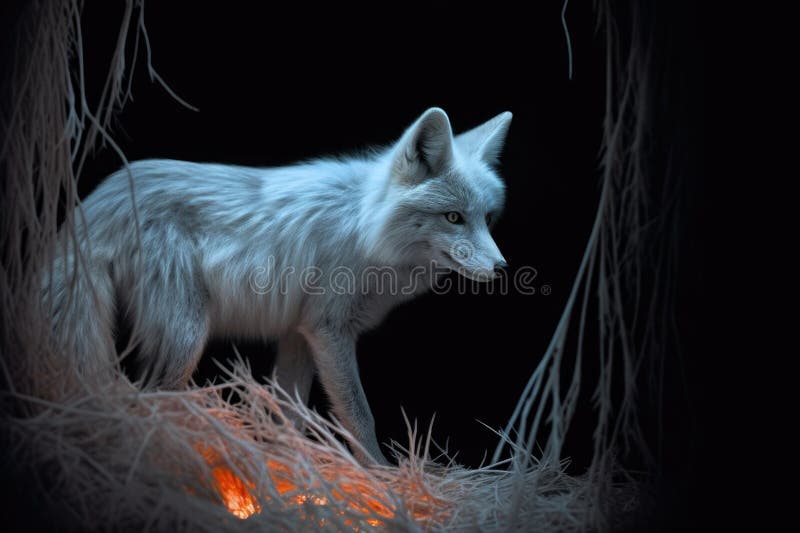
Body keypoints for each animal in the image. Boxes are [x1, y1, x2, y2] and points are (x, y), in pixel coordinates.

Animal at [45, 107, 511, 465]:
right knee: (148, 399)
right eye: (454, 218)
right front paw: (384, 478)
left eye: (487, 219)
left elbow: (287, 415)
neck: (362, 227)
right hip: (185, 339)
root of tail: (96, 205)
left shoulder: (298, 335)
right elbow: (361, 418)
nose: (502, 268)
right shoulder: (329, 331)